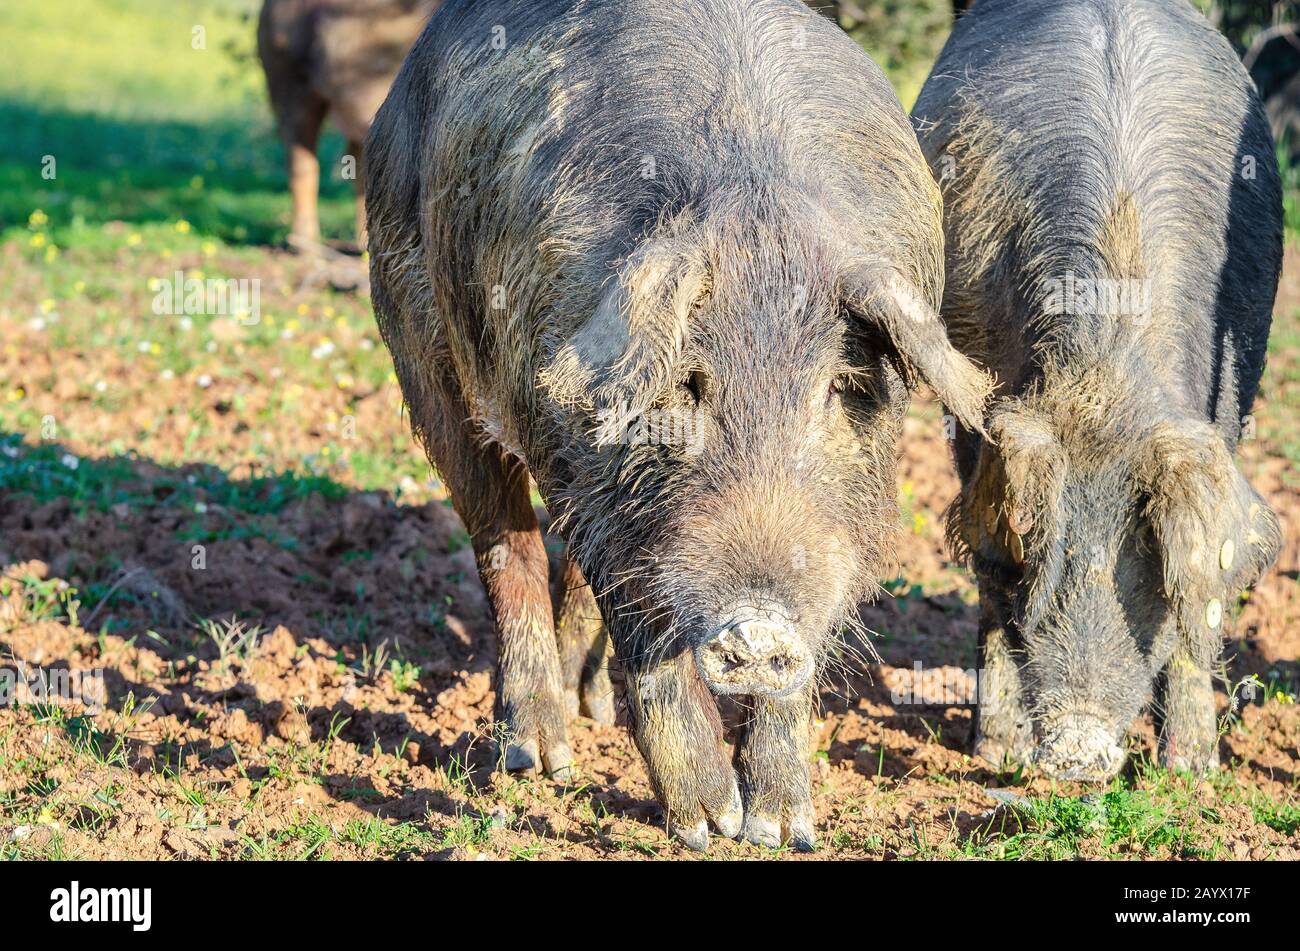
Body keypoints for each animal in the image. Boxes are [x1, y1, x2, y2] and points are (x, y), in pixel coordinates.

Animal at [365, 0, 992, 849]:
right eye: (688, 385)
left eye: (838, 387)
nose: (758, 628)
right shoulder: (575, 450)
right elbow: (639, 621)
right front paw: (704, 825)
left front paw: (781, 830)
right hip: (419, 345)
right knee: (504, 538)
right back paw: (538, 756)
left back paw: (590, 711)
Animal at [912, 0, 1283, 780]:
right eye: (1046, 545)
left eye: (1145, 555)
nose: (1077, 742)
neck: (1105, 381)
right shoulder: (980, 419)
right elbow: (991, 569)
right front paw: (998, 753)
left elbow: (1201, 585)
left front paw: (1192, 772)